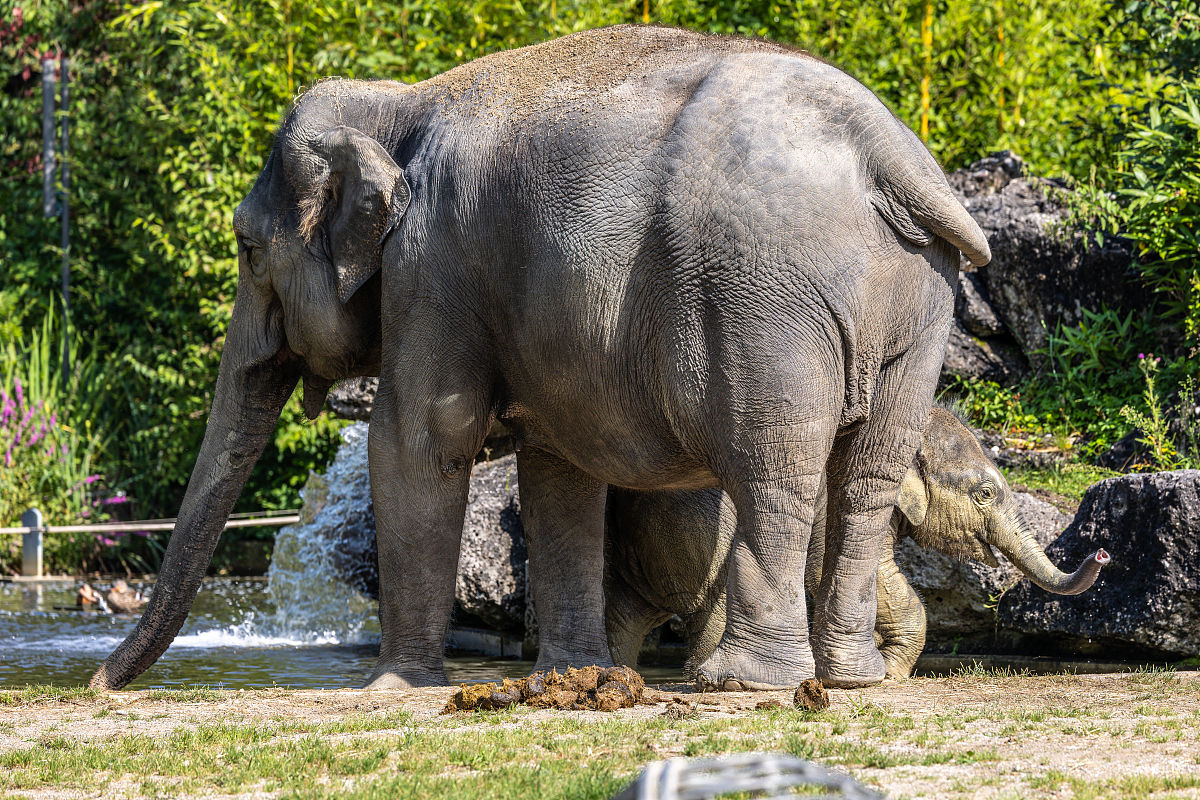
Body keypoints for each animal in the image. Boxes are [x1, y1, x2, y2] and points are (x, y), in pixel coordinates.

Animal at [90, 25, 991, 692]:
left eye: (246, 248)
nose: (98, 685)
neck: (400, 101)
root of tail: (887, 152)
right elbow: (560, 464)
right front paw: (571, 677)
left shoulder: (434, 259)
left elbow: (419, 438)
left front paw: (394, 688)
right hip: (919, 300)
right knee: (867, 473)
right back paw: (851, 679)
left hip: (763, 298)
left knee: (774, 467)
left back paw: (743, 683)